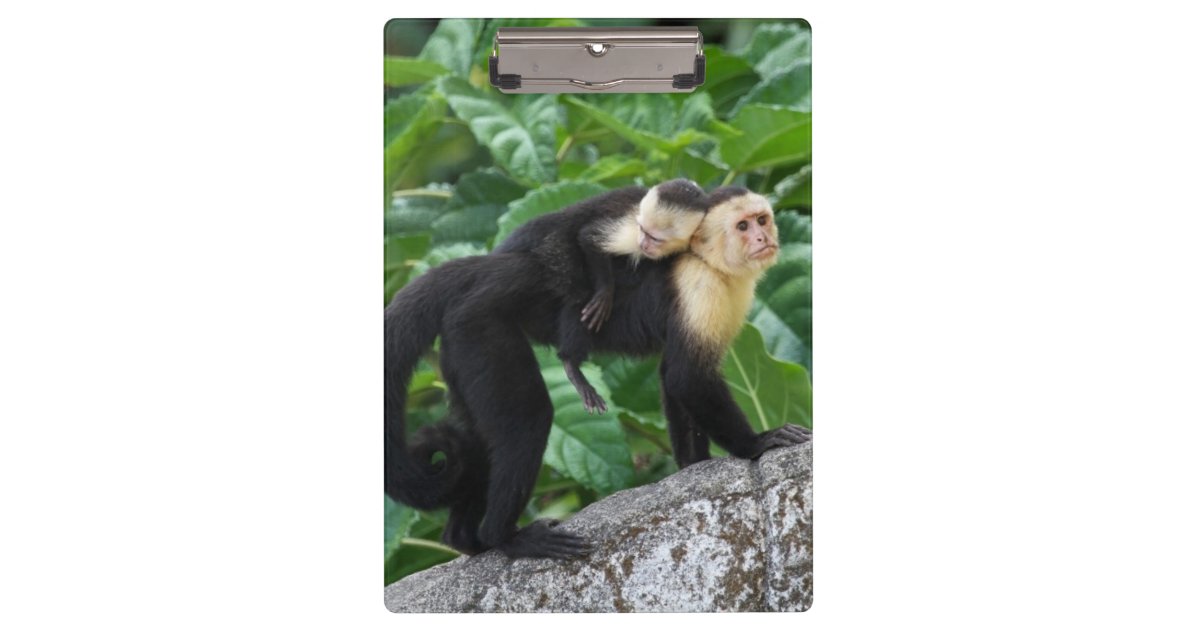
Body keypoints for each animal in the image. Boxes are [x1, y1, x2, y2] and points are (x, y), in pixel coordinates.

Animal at [492, 178, 708, 414]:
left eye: (655, 238)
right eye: (643, 230)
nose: (643, 244)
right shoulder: (630, 227)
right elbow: (589, 238)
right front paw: (605, 293)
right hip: (554, 249)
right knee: (578, 290)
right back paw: (571, 363)